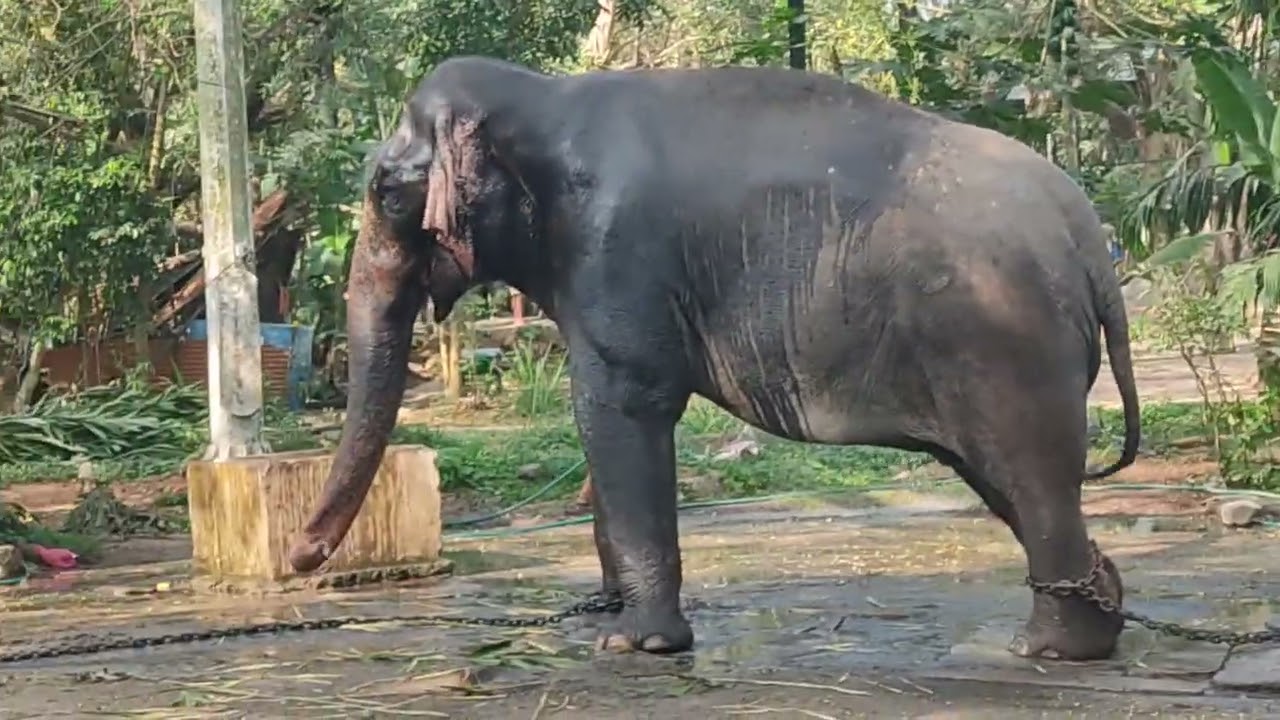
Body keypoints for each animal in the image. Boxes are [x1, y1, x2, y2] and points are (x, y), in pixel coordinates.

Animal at [288, 56, 1141, 662]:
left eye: (385, 192)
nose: (299, 560)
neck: (542, 98)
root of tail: (1090, 239)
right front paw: (605, 616)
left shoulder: (618, 255)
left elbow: (619, 407)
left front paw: (632, 643)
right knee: (1007, 478)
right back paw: (1099, 613)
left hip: (1005, 335)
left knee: (1030, 474)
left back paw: (1046, 650)